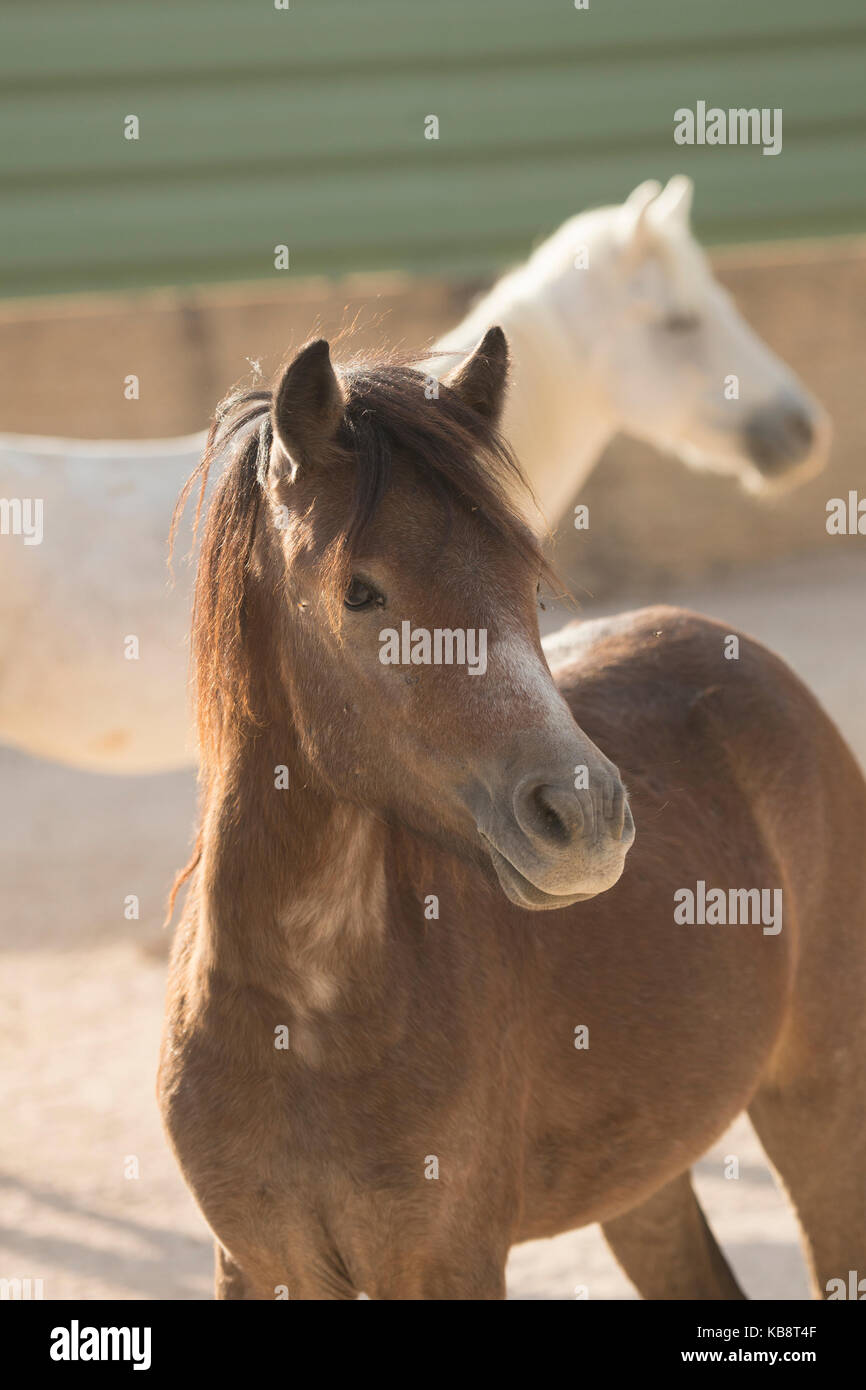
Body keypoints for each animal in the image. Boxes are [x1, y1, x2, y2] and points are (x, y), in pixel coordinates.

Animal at [158, 329, 865, 1300]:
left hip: (820, 1114)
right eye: (360, 593)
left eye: (529, 585)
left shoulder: (448, 1262)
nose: (588, 816)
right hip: (642, 1180)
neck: (298, 1016)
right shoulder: (256, 1265)